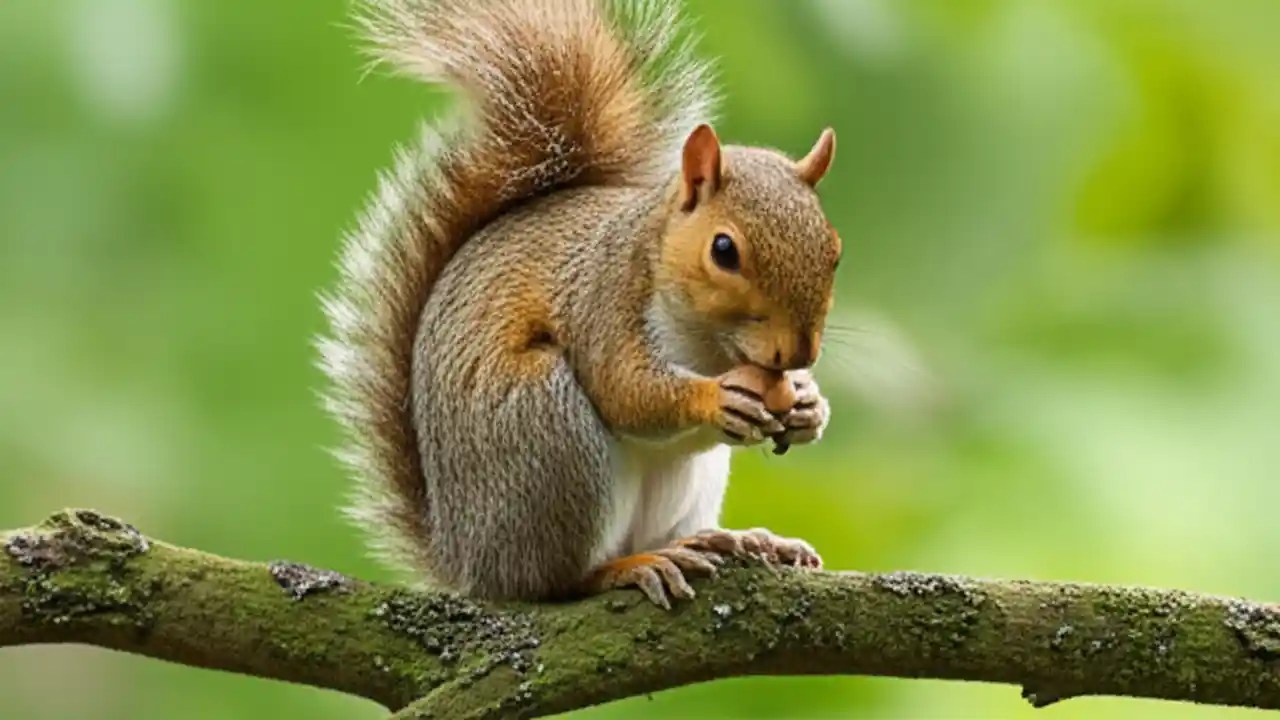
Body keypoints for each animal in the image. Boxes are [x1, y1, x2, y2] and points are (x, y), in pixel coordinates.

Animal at [319, 0, 841, 609]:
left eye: (835, 249)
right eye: (724, 250)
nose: (798, 353)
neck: (710, 347)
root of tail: (470, 562)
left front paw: (808, 404)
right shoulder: (602, 301)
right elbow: (625, 389)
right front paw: (715, 399)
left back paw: (733, 540)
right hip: (548, 430)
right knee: (556, 581)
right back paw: (630, 566)